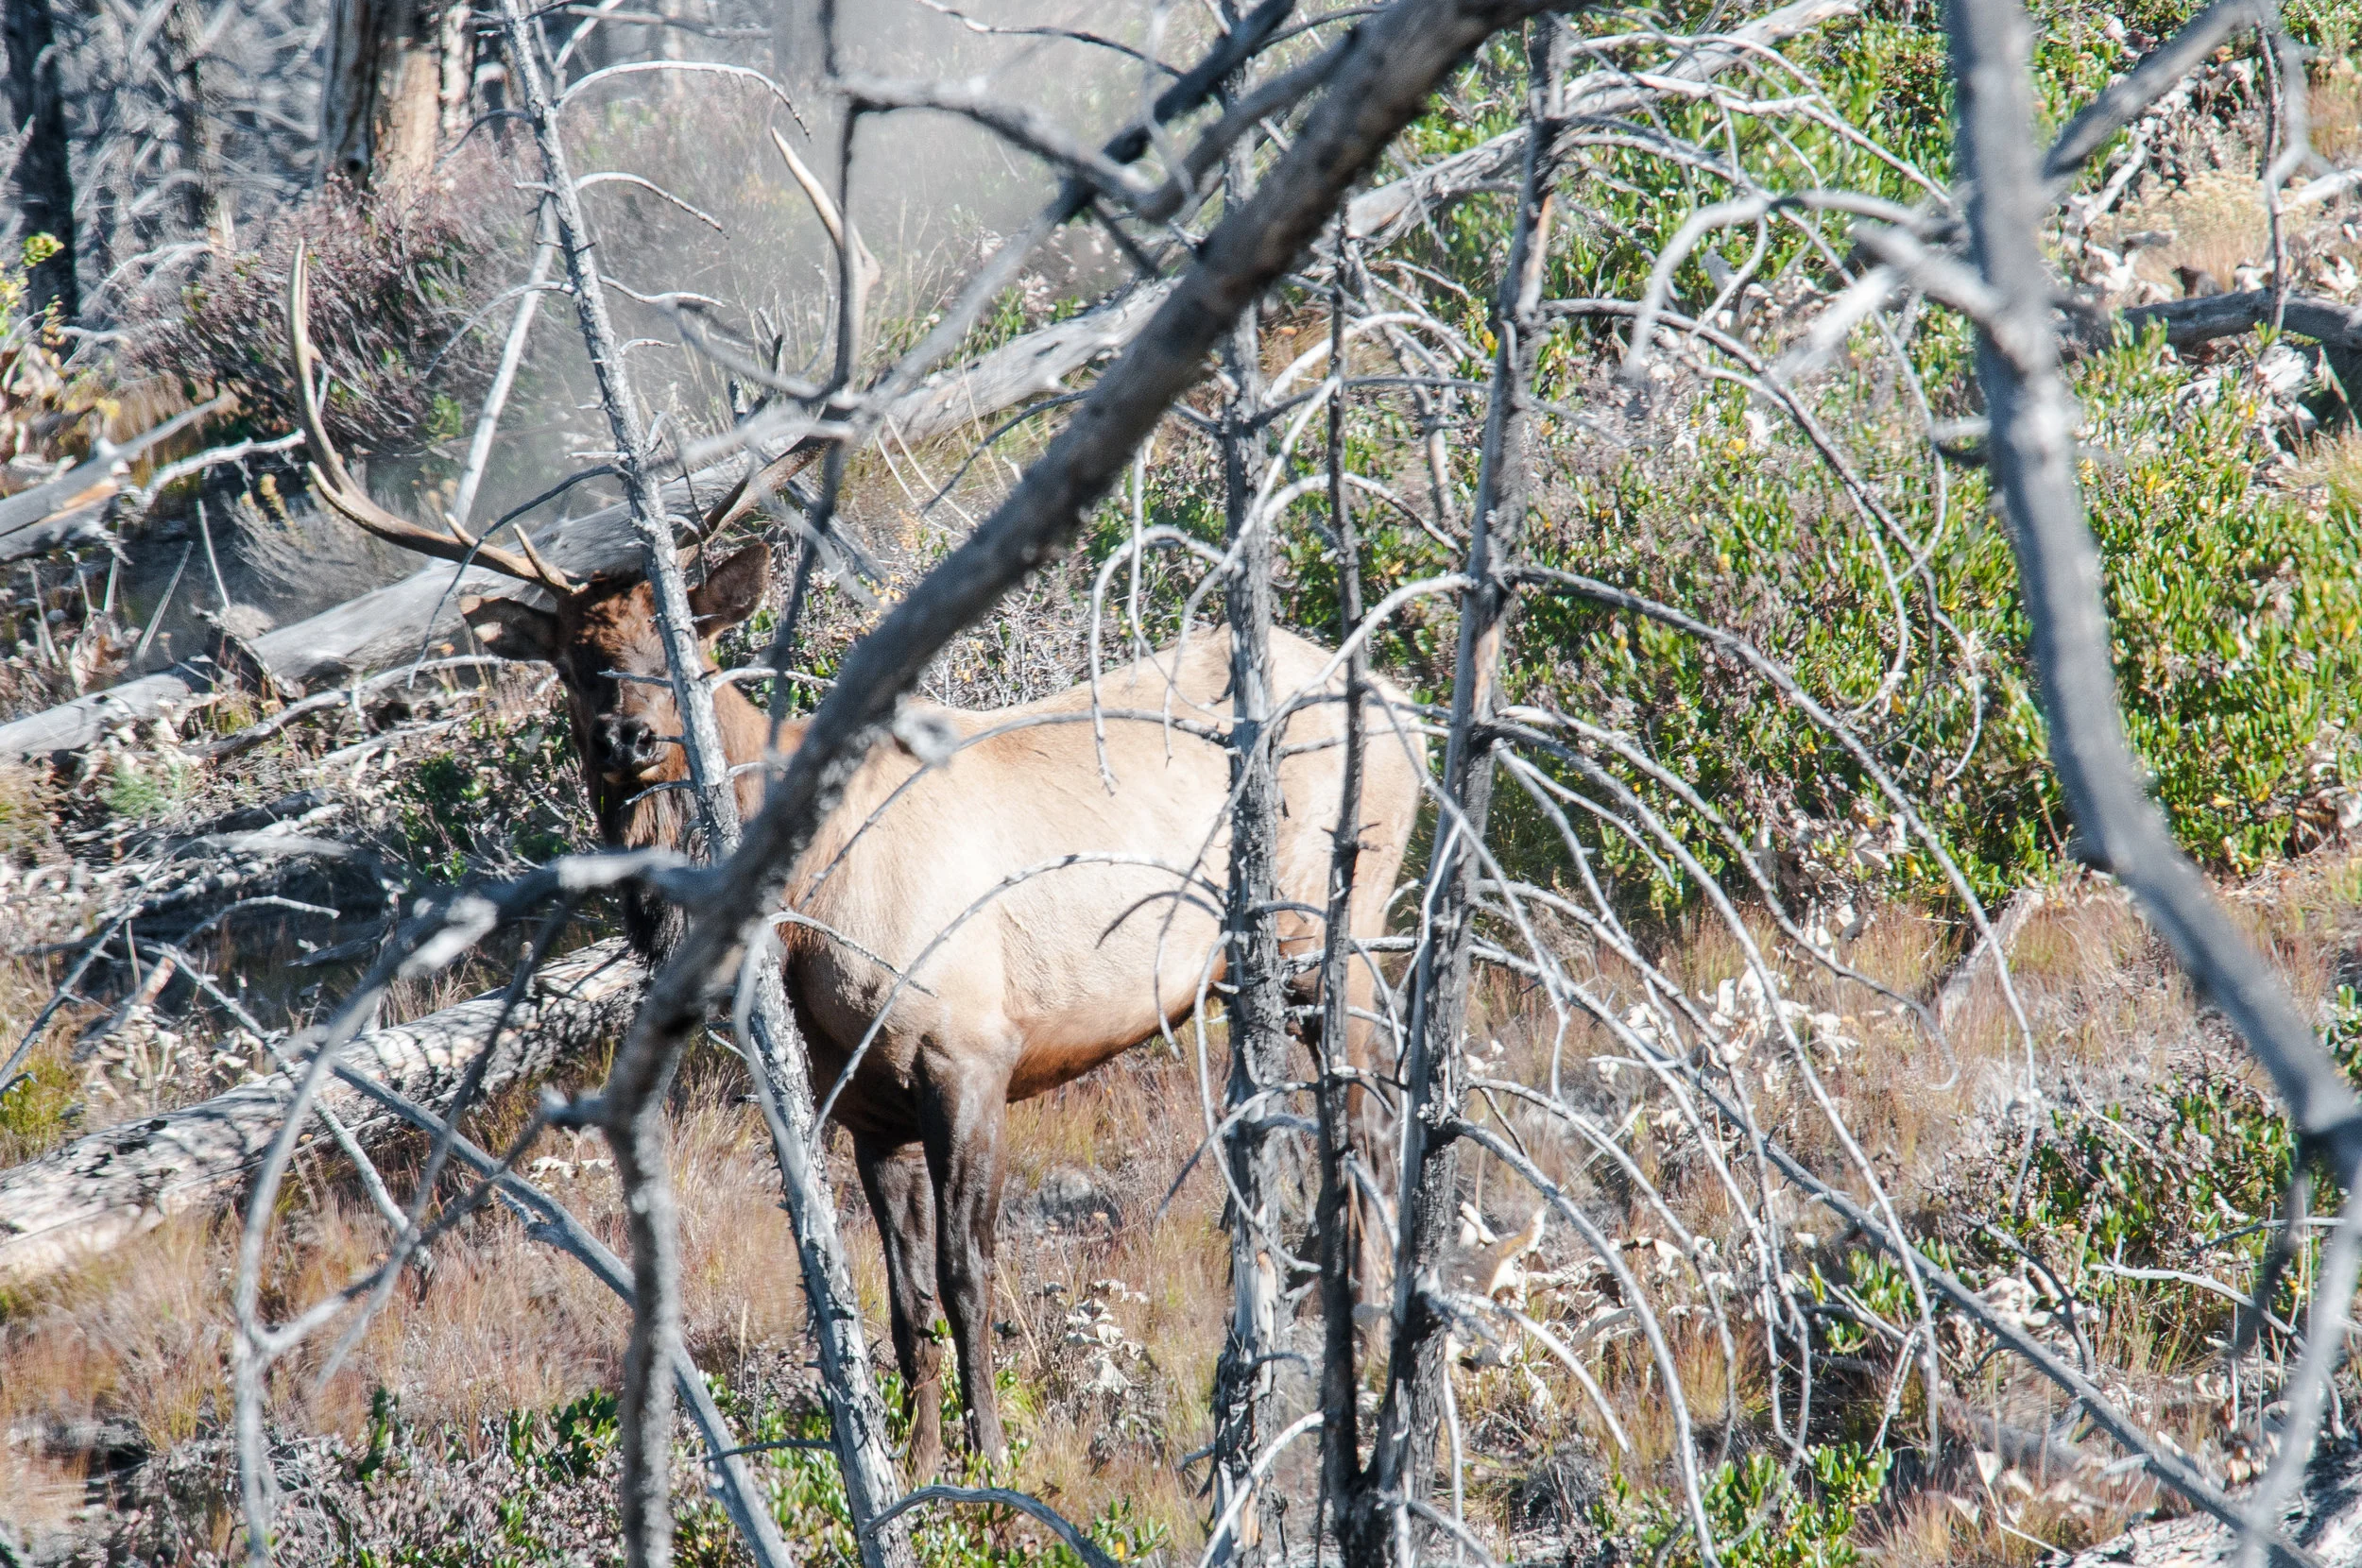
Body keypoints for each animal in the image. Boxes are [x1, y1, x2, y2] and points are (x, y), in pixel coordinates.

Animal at [287, 256, 1426, 1478]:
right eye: (580, 661)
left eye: (681, 644)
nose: (634, 737)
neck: (803, 909)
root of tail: (1401, 701)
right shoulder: (863, 1100)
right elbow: (901, 1297)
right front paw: (919, 1461)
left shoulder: (970, 1044)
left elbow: (972, 1276)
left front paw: (991, 1459)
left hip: (1338, 922)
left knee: (1370, 1116)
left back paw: (1364, 1333)